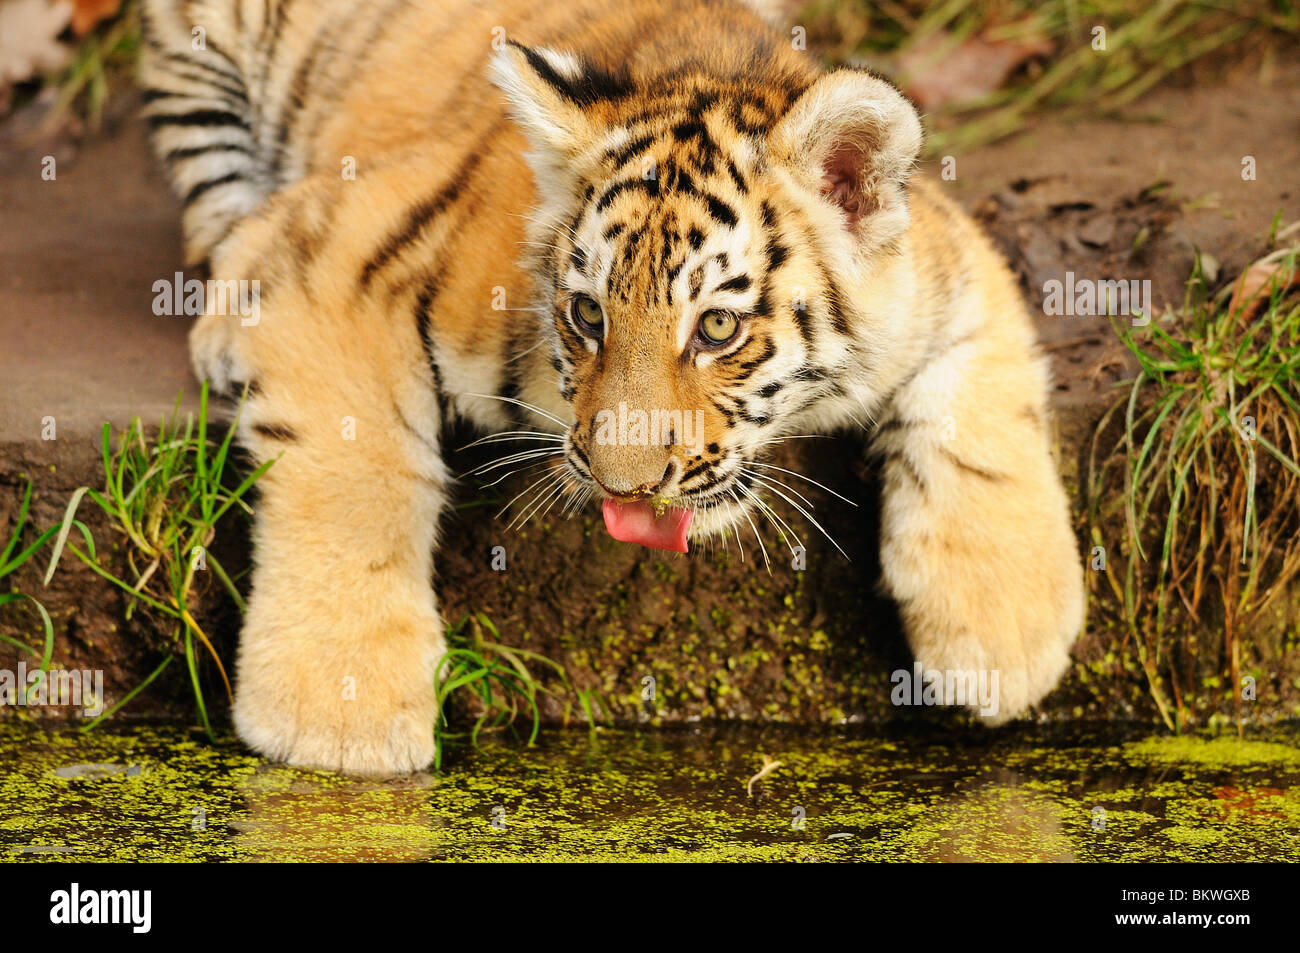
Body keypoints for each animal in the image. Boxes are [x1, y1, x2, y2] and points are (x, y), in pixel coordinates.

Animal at [138, 0, 1085, 775]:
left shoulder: (947, 253)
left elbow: (987, 407)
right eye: (588, 314)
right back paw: (222, 320)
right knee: (215, 214)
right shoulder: (339, 244)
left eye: (716, 328)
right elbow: (356, 469)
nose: (624, 488)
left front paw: (1004, 638)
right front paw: (337, 713)